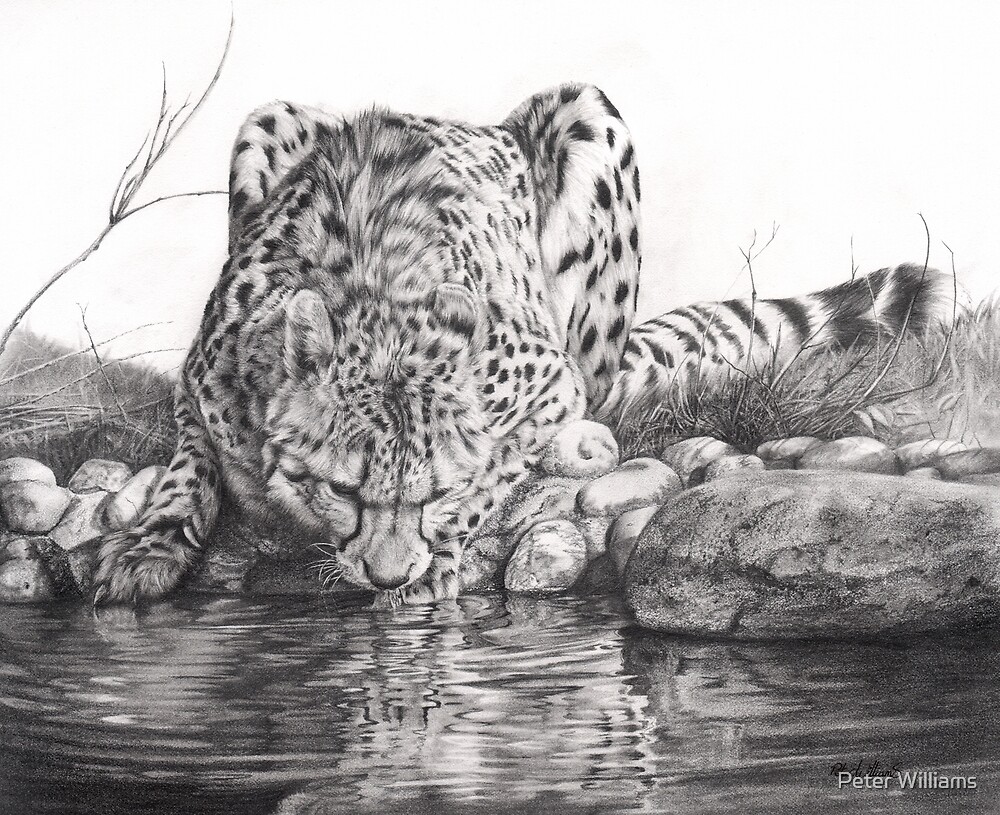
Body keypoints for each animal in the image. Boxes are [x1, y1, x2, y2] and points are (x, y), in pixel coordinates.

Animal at [94, 83, 642, 605]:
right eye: (343, 489)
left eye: (436, 493)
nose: (388, 576)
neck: (372, 291)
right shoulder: (198, 384)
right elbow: (189, 464)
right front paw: (150, 546)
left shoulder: (556, 386)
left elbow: (487, 479)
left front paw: (433, 567)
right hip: (267, 121)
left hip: (586, 115)